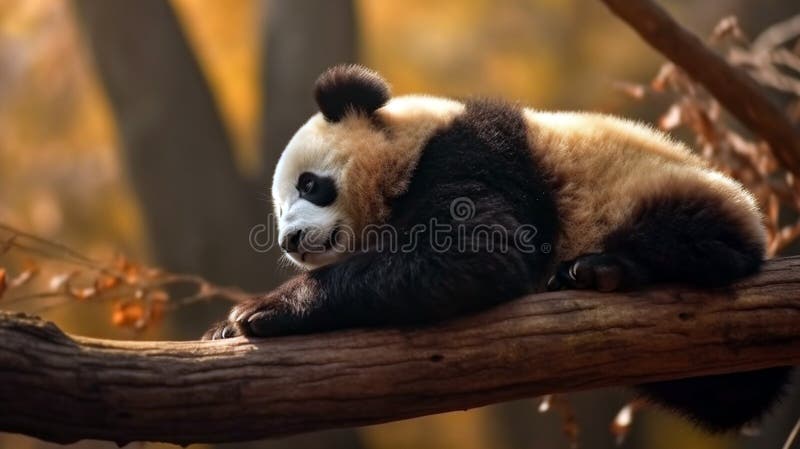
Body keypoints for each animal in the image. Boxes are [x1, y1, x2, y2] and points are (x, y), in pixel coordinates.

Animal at [205, 64, 792, 432]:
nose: (290, 239)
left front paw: (260, 310)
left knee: (692, 239)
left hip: (657, 191)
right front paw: (220, 331)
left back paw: (601, 270)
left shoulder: (470, 156)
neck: (409, 144)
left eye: (309, 185)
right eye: (279, 207)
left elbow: (476, 253)